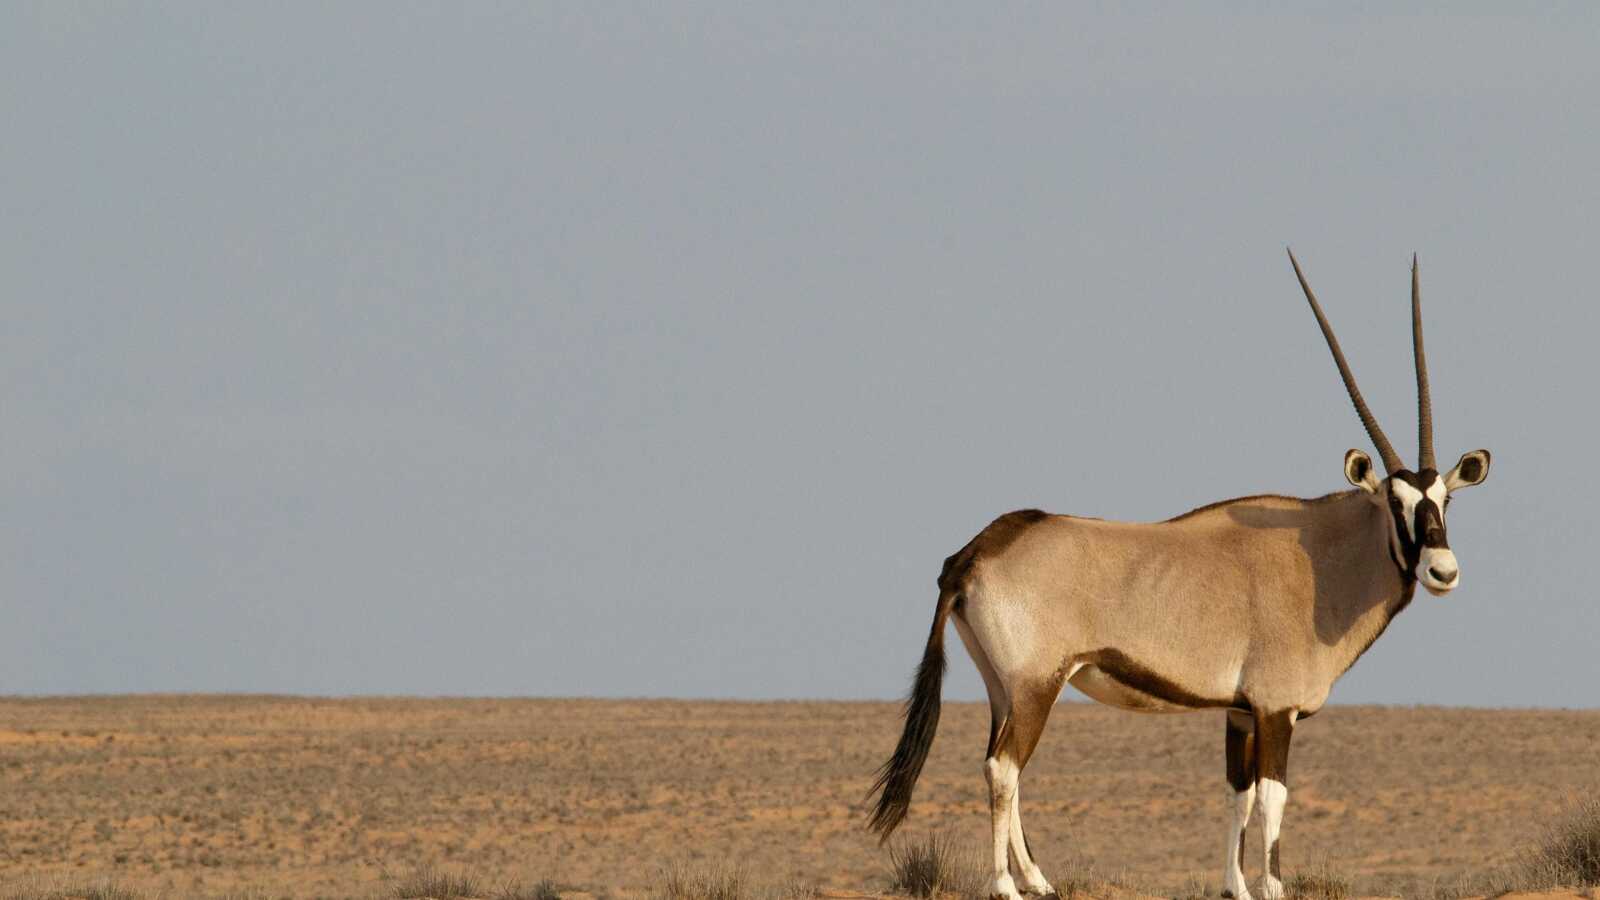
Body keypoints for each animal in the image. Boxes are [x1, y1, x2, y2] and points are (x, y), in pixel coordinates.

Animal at [867, 251, 1492, 900]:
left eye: (1444, 499)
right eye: (1395, 503)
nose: (1442, 569)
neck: (1318, 557)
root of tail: (973, 552)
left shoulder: (1239, 711)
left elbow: (1238, 796)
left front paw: (1235, 887)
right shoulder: (1275, 710)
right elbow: (1273, 799)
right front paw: (1270, 886)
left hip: (1002, 688)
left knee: (1000, 763)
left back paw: (1038, 879)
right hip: (1038, 684)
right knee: (1004, 768)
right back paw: (1007, 885)